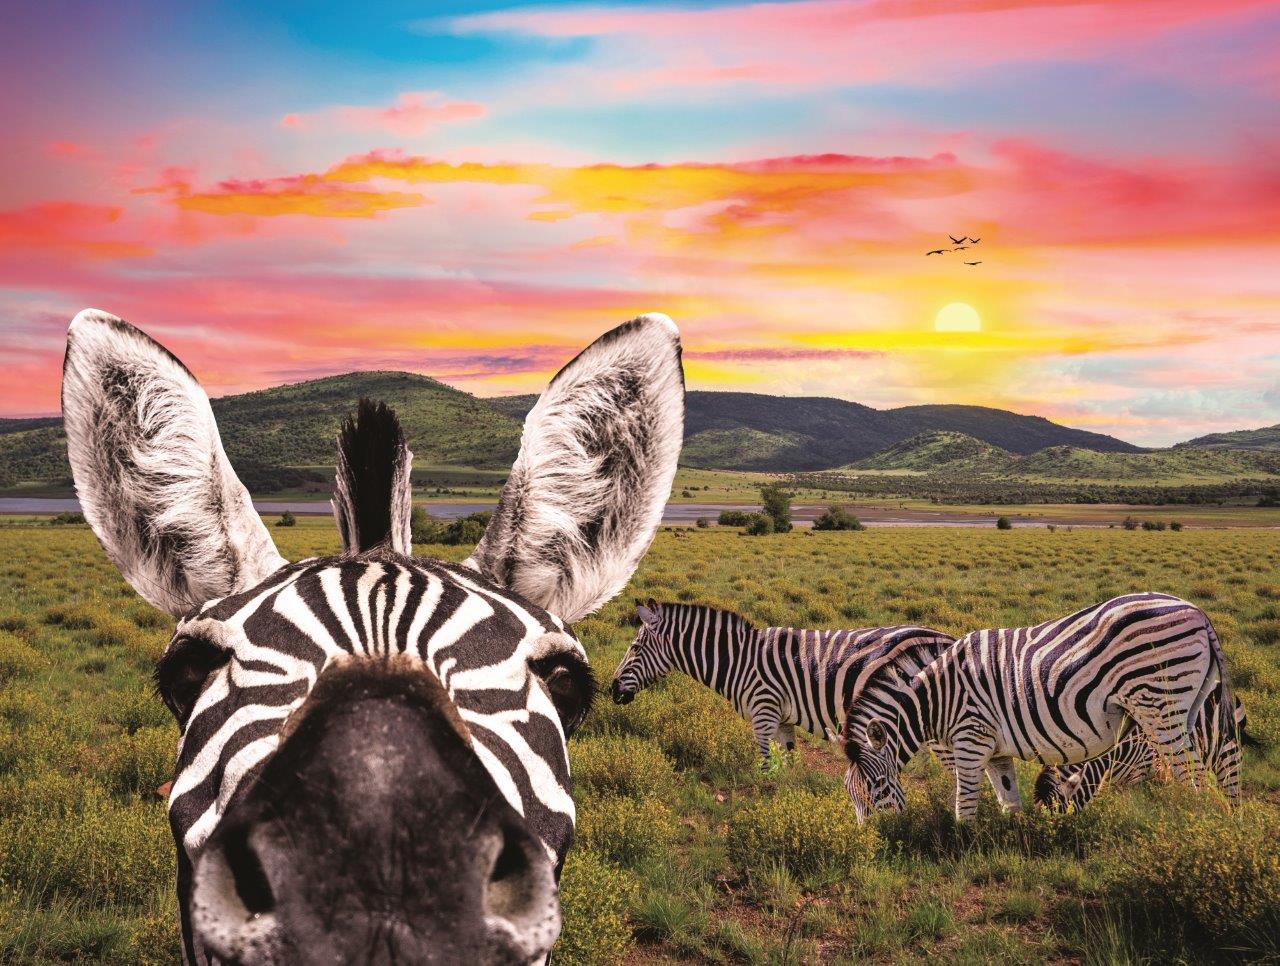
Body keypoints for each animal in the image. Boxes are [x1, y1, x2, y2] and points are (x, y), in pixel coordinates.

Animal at [610, 600, 954, 762]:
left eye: (635, 648)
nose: (611, 689)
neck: (740, 661)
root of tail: (948, 638)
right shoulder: (783, 720)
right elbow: (787, 765)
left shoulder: (763, 713)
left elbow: (764, 766)